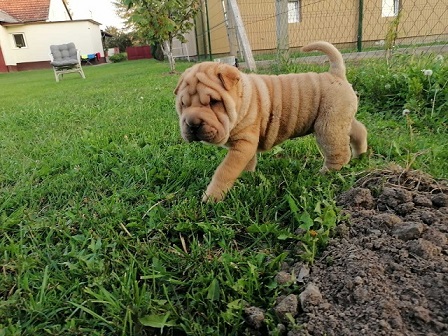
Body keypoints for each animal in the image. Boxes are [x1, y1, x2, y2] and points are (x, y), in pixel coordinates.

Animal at [173, 40, 366, 201]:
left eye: (214, 102)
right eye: (183, 104)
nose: (192, 124)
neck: (243, 99)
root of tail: (336, 74)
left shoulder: (243, 144)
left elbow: (224, 171)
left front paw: (211, 197)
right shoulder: (246, 145)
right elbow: (247, 164)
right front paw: (247, 178)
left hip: (328, 126)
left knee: (338, 153)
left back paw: (325, 174)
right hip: (340, 118)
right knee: (359, 130)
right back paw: (360, 154)